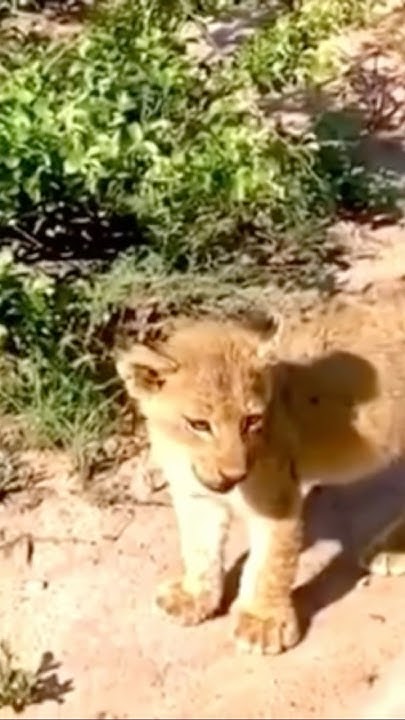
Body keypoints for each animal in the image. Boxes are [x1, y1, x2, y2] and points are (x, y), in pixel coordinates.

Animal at [115, 287, 405, 655]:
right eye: (199, 424)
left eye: (250, 420)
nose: (234, 474)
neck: (184, 455)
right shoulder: (196, 497)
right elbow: (198, 548)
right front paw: (194, 597)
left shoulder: (276, 497)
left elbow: (270, 562)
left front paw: (263, 623)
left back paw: (391, 550)